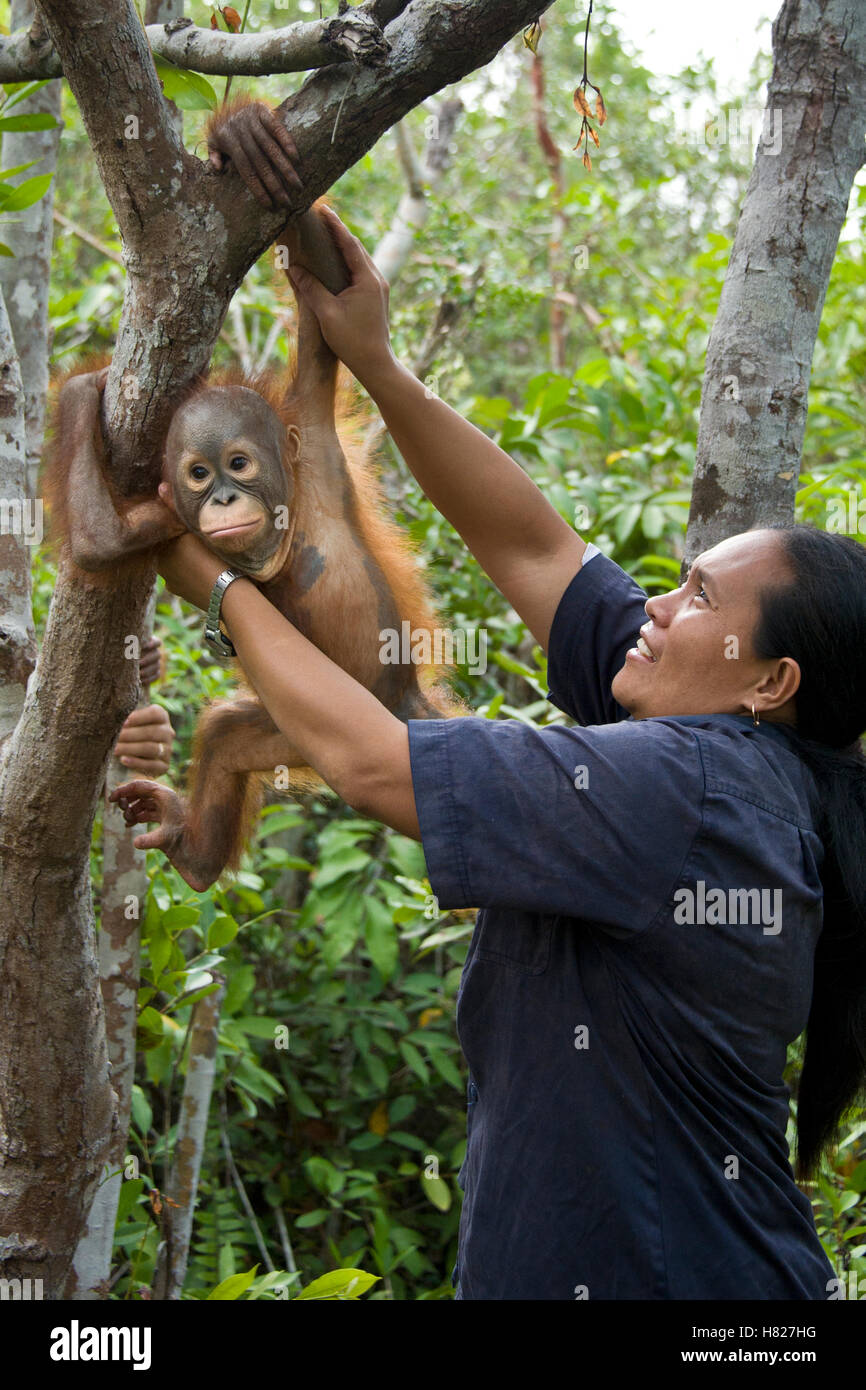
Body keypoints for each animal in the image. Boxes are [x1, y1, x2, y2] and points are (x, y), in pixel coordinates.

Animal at [44, 101, 461, 893]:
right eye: (199, 475)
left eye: (239, 463)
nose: (224, 503)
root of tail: (405, 703)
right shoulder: (170, 520)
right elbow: (103, 544)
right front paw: (82, 392)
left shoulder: (314, 445)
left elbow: (325, 298)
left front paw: (243, 136)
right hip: (296, 729)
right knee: (229, 734)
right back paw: (195, 853)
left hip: (381, 728)